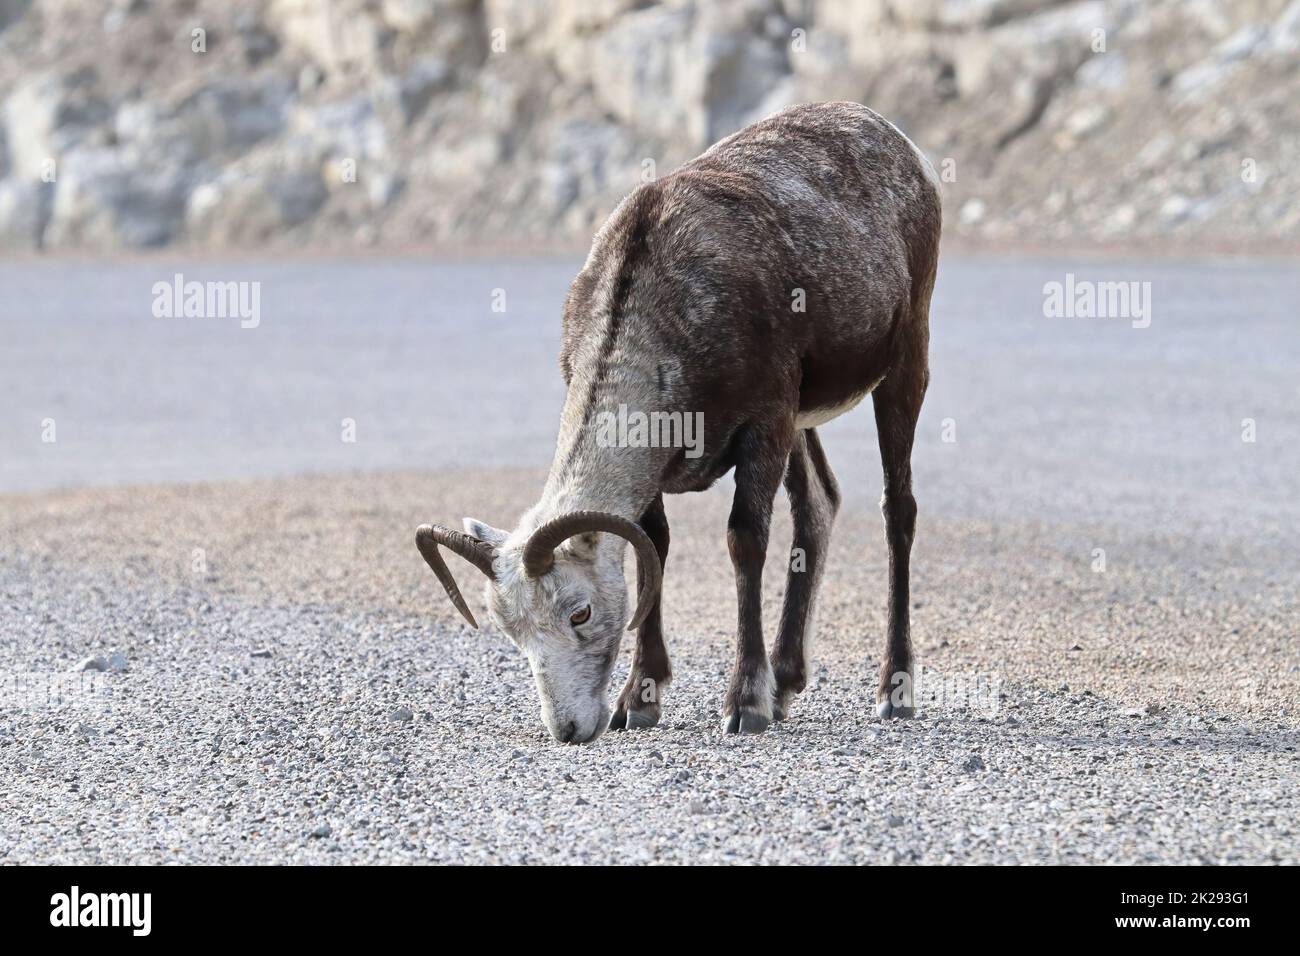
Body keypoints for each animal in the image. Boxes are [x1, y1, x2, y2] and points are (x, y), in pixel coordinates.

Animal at [417, 102, 942, 743]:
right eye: (509, 627)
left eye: (580, 612)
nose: (569, 729)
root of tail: (899, 142)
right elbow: (656, 549)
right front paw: (638, 701)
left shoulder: (764, 425)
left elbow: (745, 542)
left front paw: (745, 705)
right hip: (804, 422)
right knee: (820, 502)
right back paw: (788, 682)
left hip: (903, 364)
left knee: (898, 511)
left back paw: (893, 691)